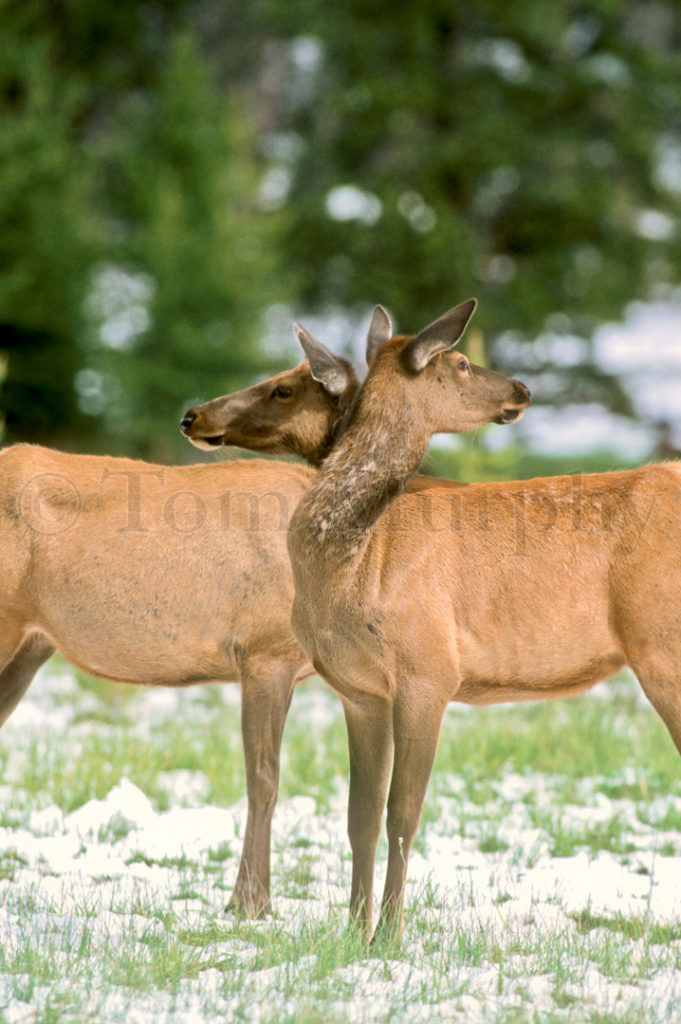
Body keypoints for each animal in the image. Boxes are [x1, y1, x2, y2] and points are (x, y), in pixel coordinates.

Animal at [285, 297, 681, 946]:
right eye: (464, 362)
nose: (522, 388)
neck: (354, 562)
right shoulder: (358, 690)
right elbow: (357, 816)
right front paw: (350, 934)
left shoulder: (429, 668)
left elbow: (403, 812)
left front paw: (389, 936)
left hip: (661, 643)